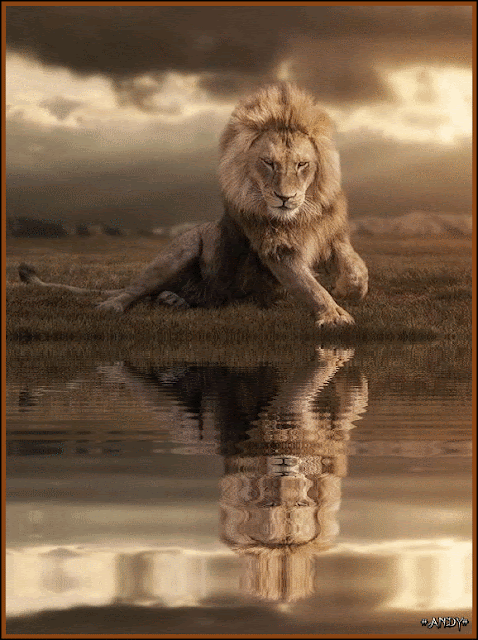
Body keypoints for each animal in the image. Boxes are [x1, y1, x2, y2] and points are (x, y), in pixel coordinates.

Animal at [18, 82, 368, 328]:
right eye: (268, 163)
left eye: (301, 165)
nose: (285, 197)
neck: (300, 215)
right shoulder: (276, 250)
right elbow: (308, 285)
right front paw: (334, 315)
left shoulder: (330, 234)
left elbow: (356, 266)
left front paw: (347, 290)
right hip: (179, 250)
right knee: (134, 290)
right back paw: (116, 305)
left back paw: (174, 300)